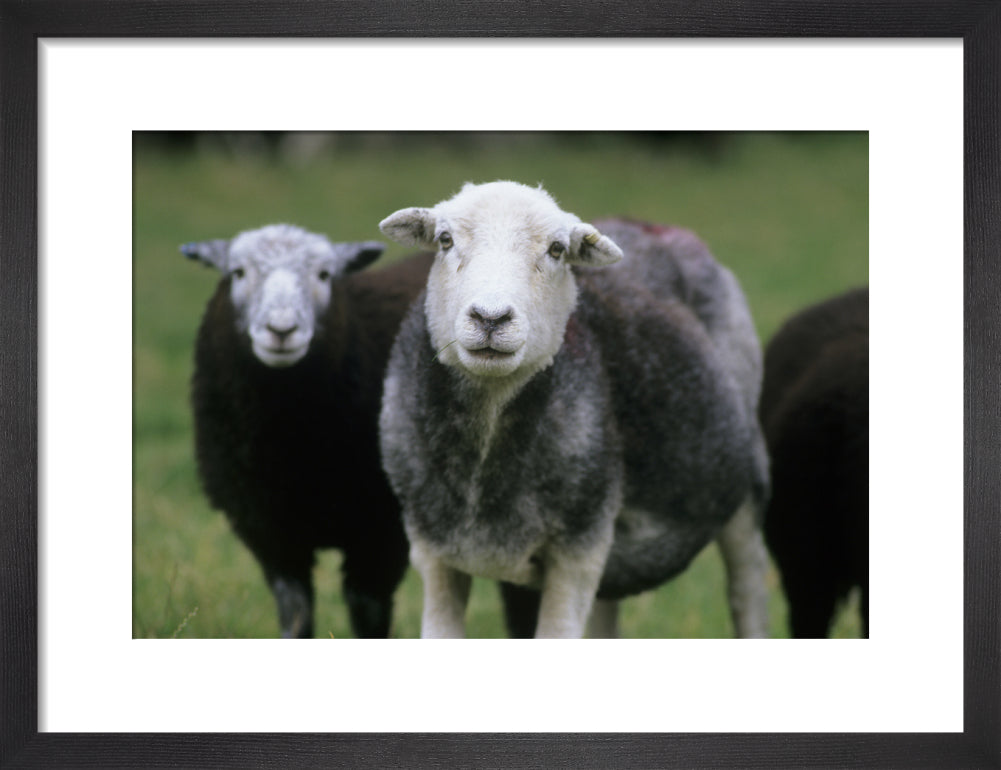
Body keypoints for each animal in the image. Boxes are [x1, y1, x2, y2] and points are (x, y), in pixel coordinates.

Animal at [181, 224, 432, 638]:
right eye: (237, 273)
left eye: (325, 275)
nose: (282, 330)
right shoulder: (272, 533)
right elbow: (296, 614)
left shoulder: (382, 531)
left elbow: (368, 614)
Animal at [378, 181, 771, 638]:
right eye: (444, 240)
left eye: (556, 250)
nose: (490, 318)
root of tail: (652, 225)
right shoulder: (432, 550)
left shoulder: (579, 550)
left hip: (746, 485)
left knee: (747, 591)